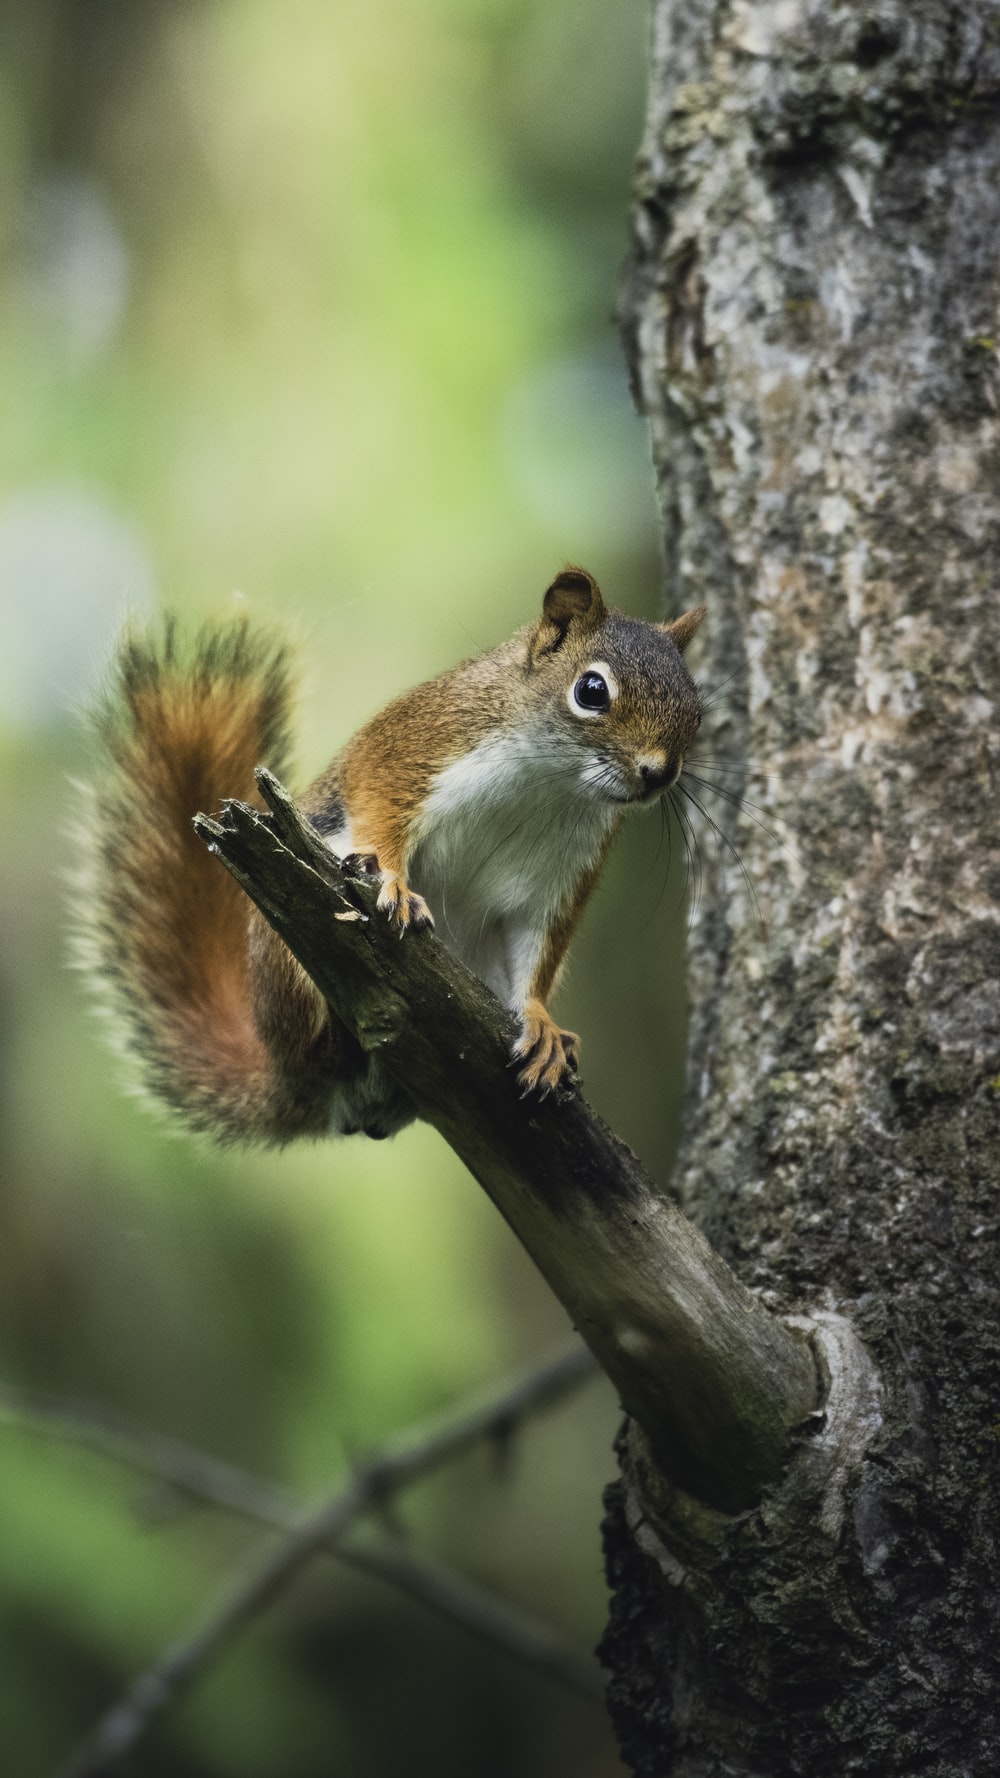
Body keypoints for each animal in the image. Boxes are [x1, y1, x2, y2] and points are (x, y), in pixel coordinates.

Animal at [81, 566, 704, 1146]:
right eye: (591, 691)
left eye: (697, 711)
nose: (657, 773)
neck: (553, 779)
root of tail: (291, 1078)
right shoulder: (417, 741)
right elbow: (377, 805)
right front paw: (395, 889)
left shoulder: (564, 874)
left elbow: (539, 948)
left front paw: (542, 1025)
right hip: (291, 956)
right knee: (322, 1040)